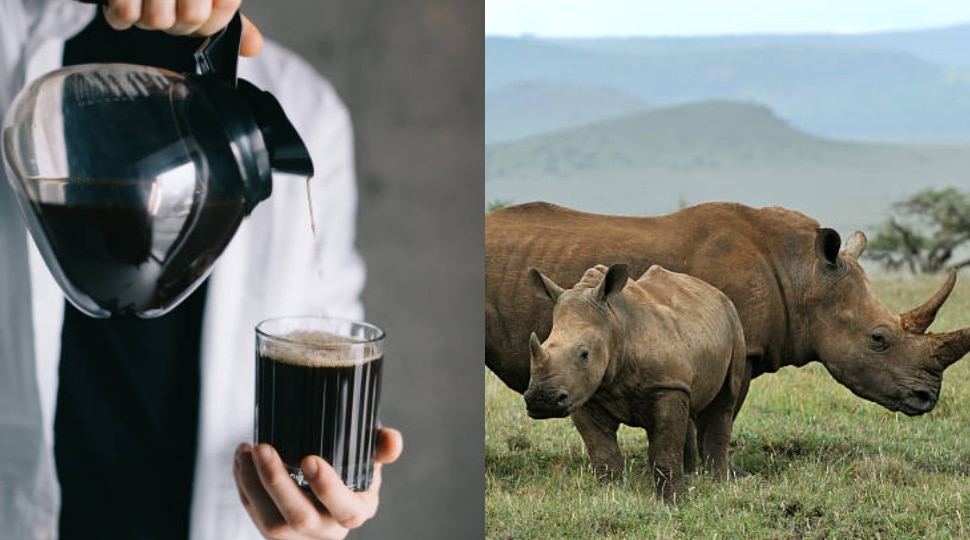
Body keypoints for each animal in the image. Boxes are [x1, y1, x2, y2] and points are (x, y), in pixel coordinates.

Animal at [525, 263, 746, 501]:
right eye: (544, 344)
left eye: (584, 354)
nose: (541, 400)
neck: (615, 324)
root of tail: (713, 291)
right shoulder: (584, 393)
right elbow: (602, 451)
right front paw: (608, 494)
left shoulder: (666, 385)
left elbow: (665, 448)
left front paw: (675, 501)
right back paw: (692, 476)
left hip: (734, 322)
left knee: (725, 399)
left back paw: (720, 484)